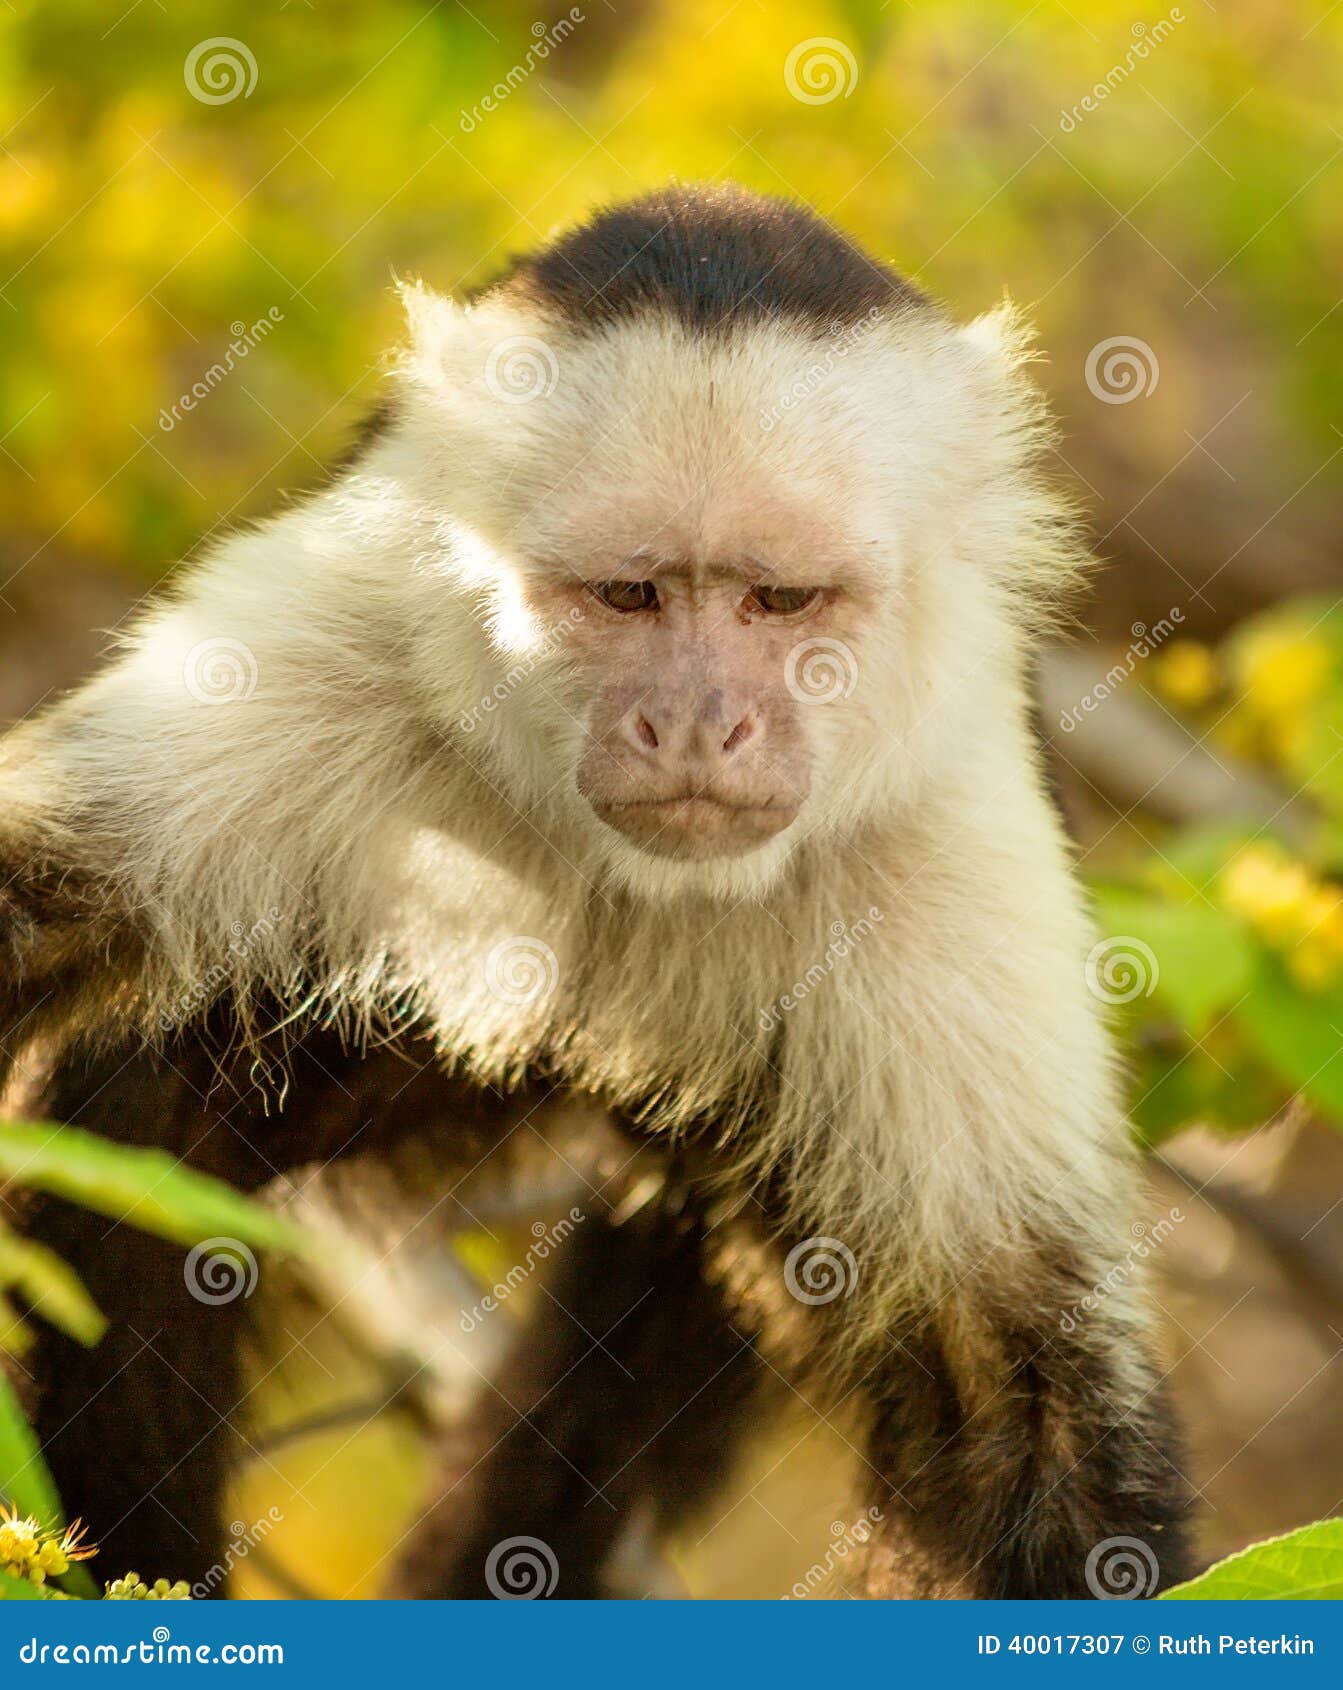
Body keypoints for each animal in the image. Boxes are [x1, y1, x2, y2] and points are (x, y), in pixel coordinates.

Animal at [0, 182, 1192, 1599]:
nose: (697, 723)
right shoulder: (332, 641)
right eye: (629, 592)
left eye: (781, 598)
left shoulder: (936, 810)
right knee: (141, 1109)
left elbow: (1009, 1397)